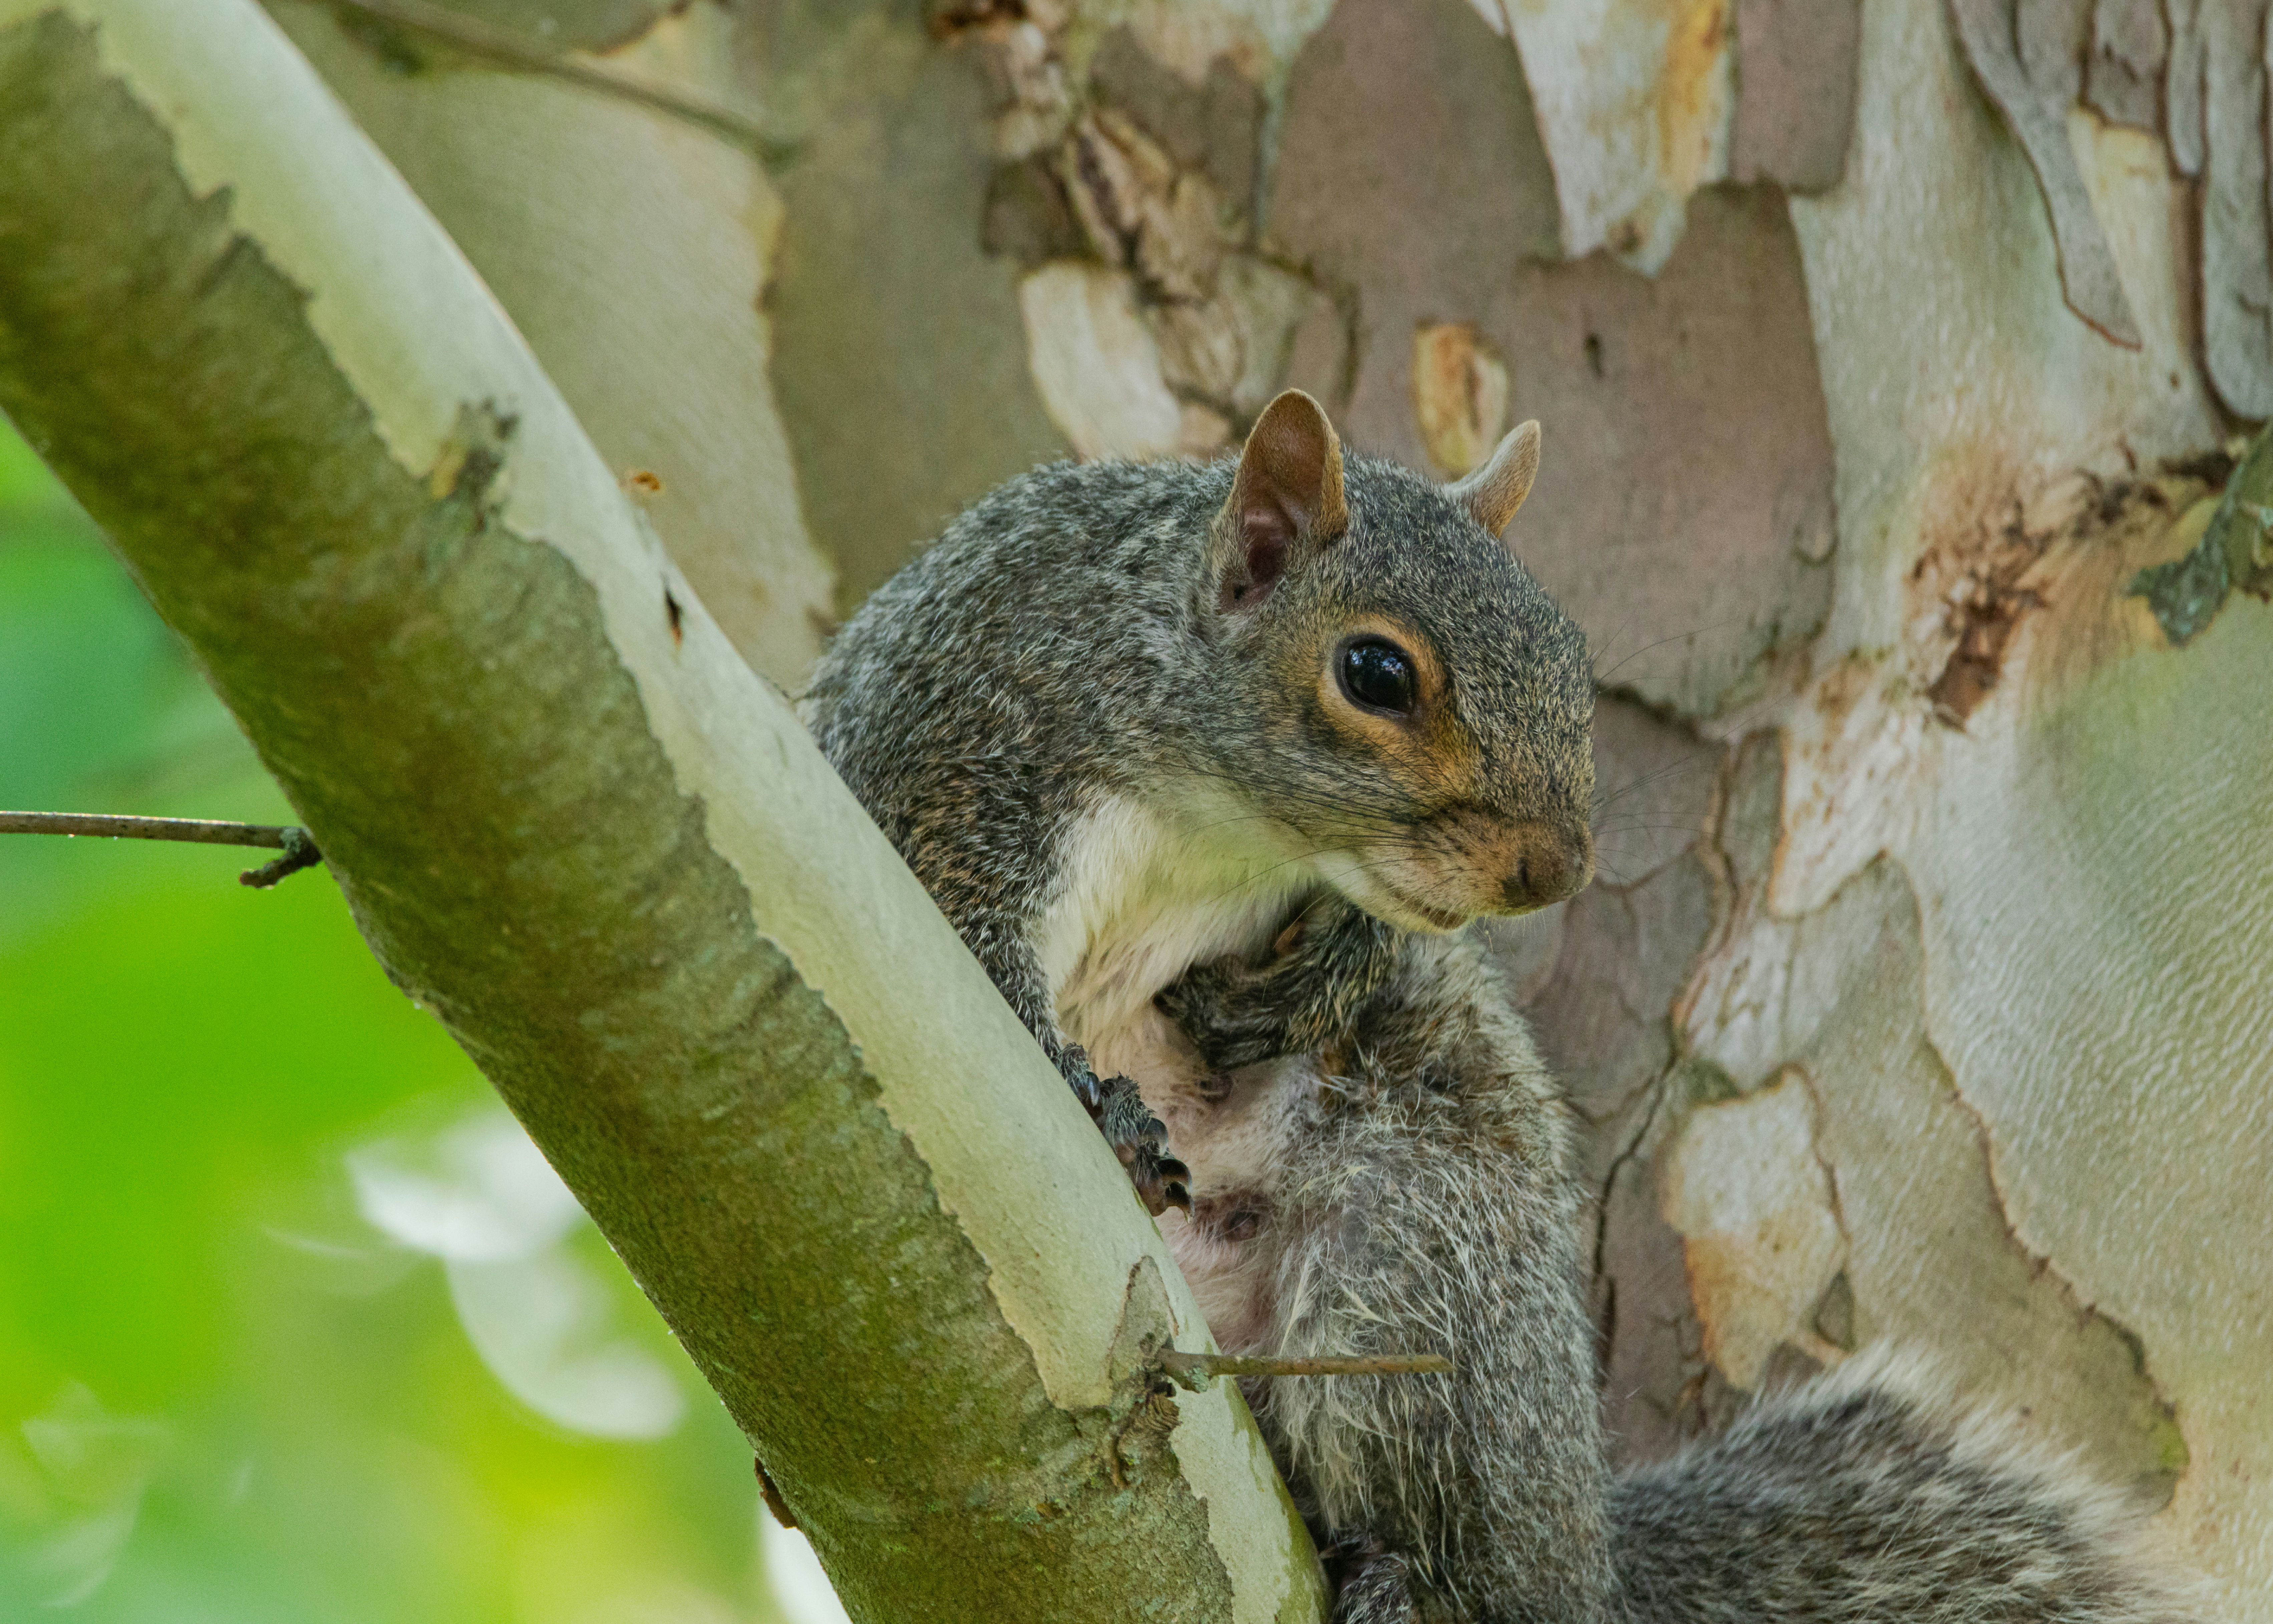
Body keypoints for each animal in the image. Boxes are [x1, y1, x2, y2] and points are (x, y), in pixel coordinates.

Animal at [800, 391, 2194, 1623]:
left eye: (1571, 654)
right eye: (1374, 671)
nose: (1554, 869)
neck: (1220, 818)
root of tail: (1584, 1555)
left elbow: (1377, 947)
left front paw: (1329, 964)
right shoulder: (965, 745)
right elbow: (968, 927)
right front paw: (1089, 1083)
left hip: (1412, 1254)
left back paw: (1408, 1577)